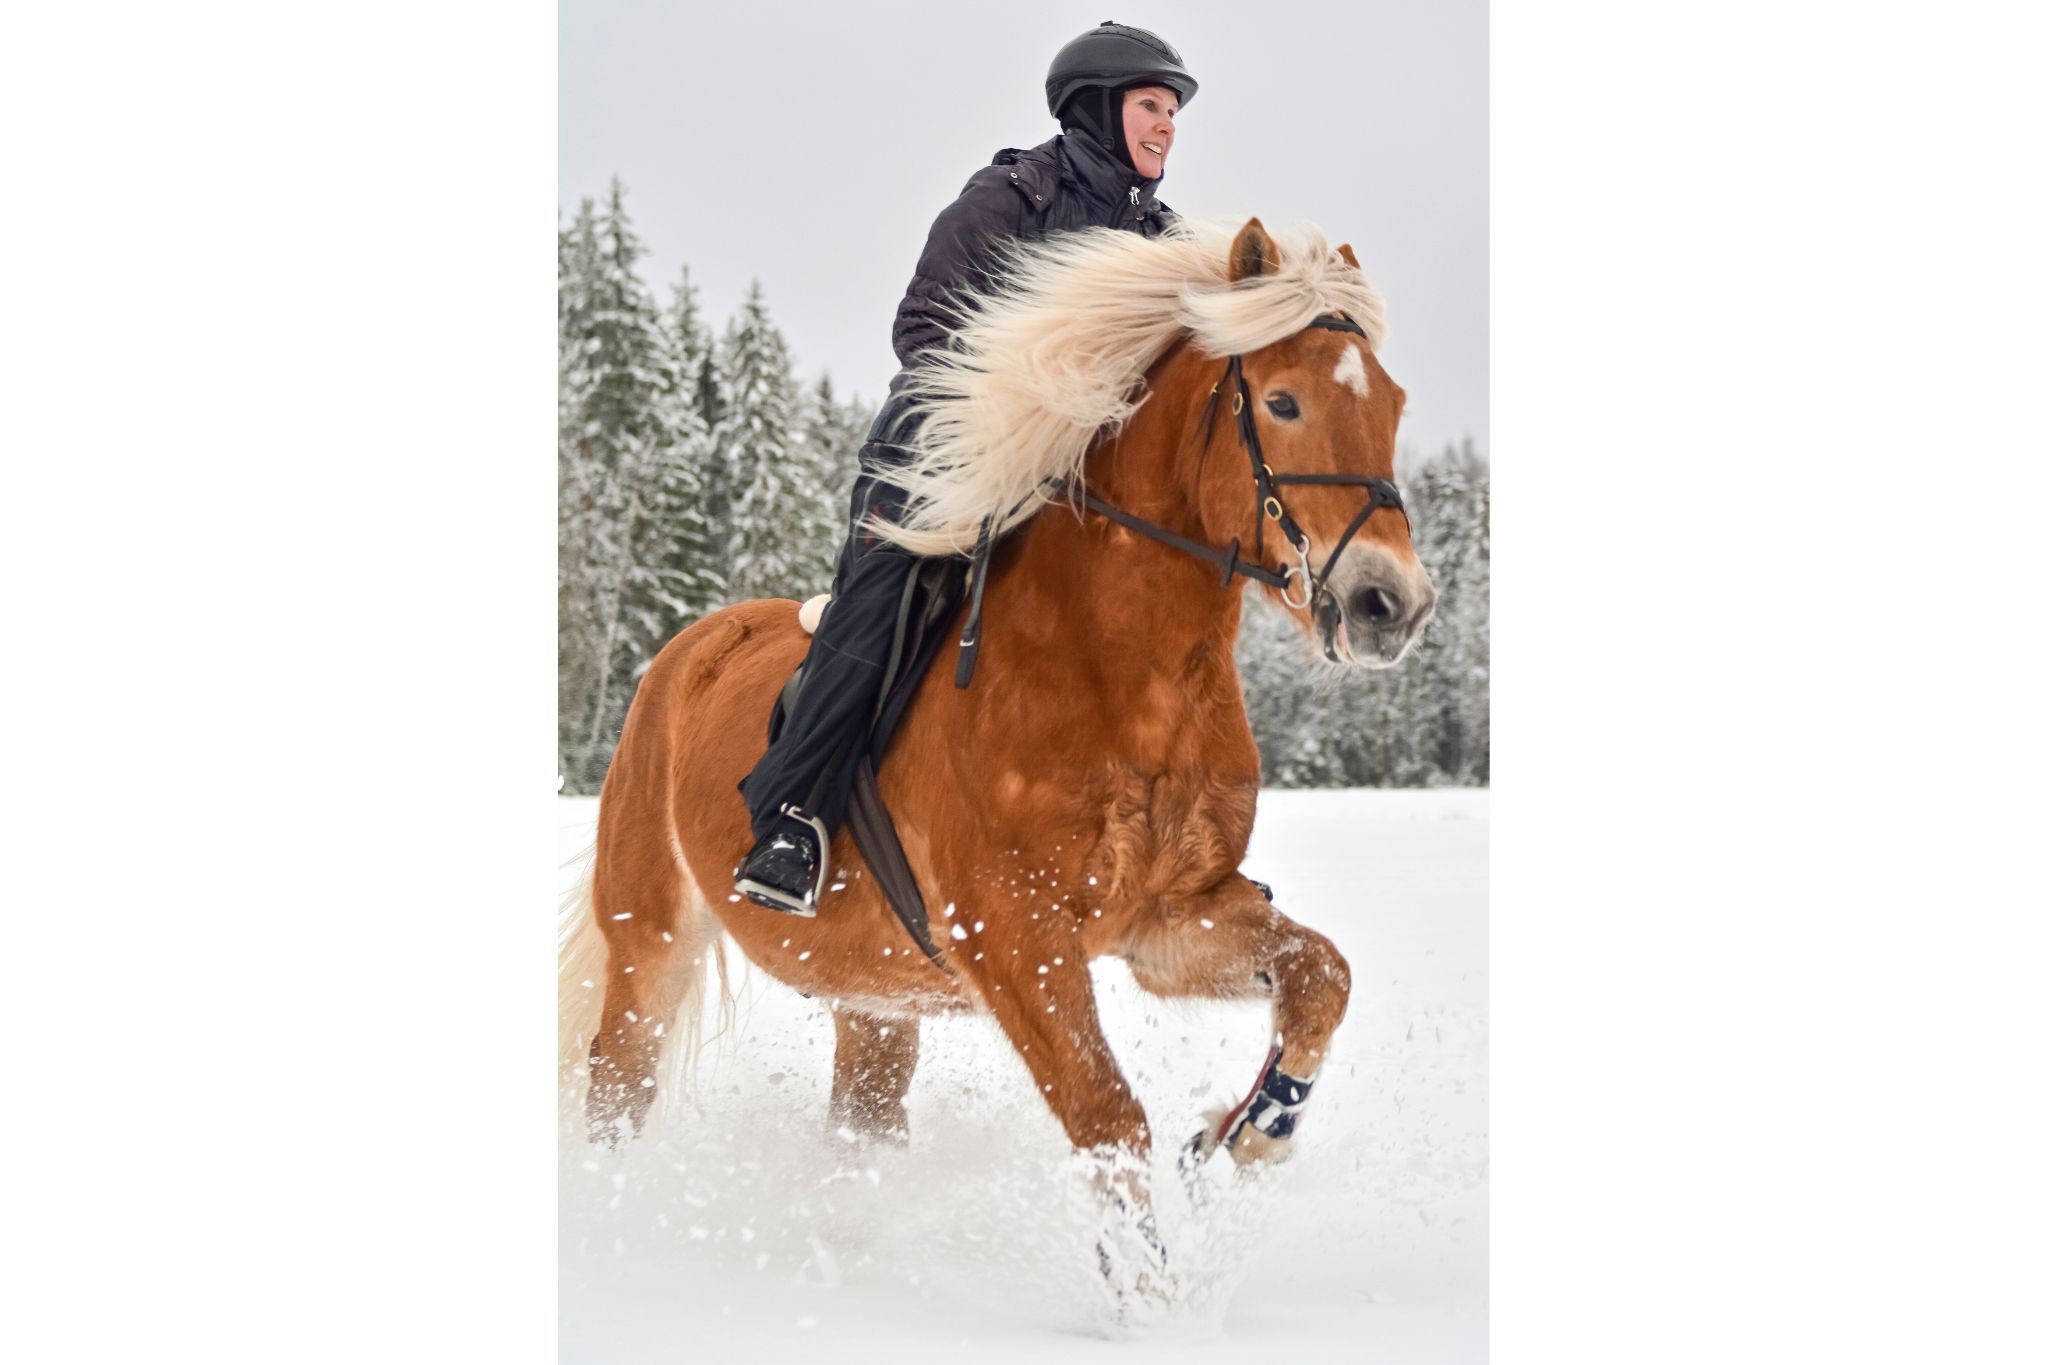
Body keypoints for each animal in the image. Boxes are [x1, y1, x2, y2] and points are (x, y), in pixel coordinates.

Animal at [560, 216, 1437, 1302]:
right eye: (1281, 401)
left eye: (1392, 402)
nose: (1389, 604)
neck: (1118, 671)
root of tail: (684, 652)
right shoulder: (1013, 933)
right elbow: (1106, 1114)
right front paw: (1150, 1303)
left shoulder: (1169, 918)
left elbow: (1321, 975)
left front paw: (1245, 1136)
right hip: (650, 938)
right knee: (615, 1093)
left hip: (874, 1003)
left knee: (858, 1125)